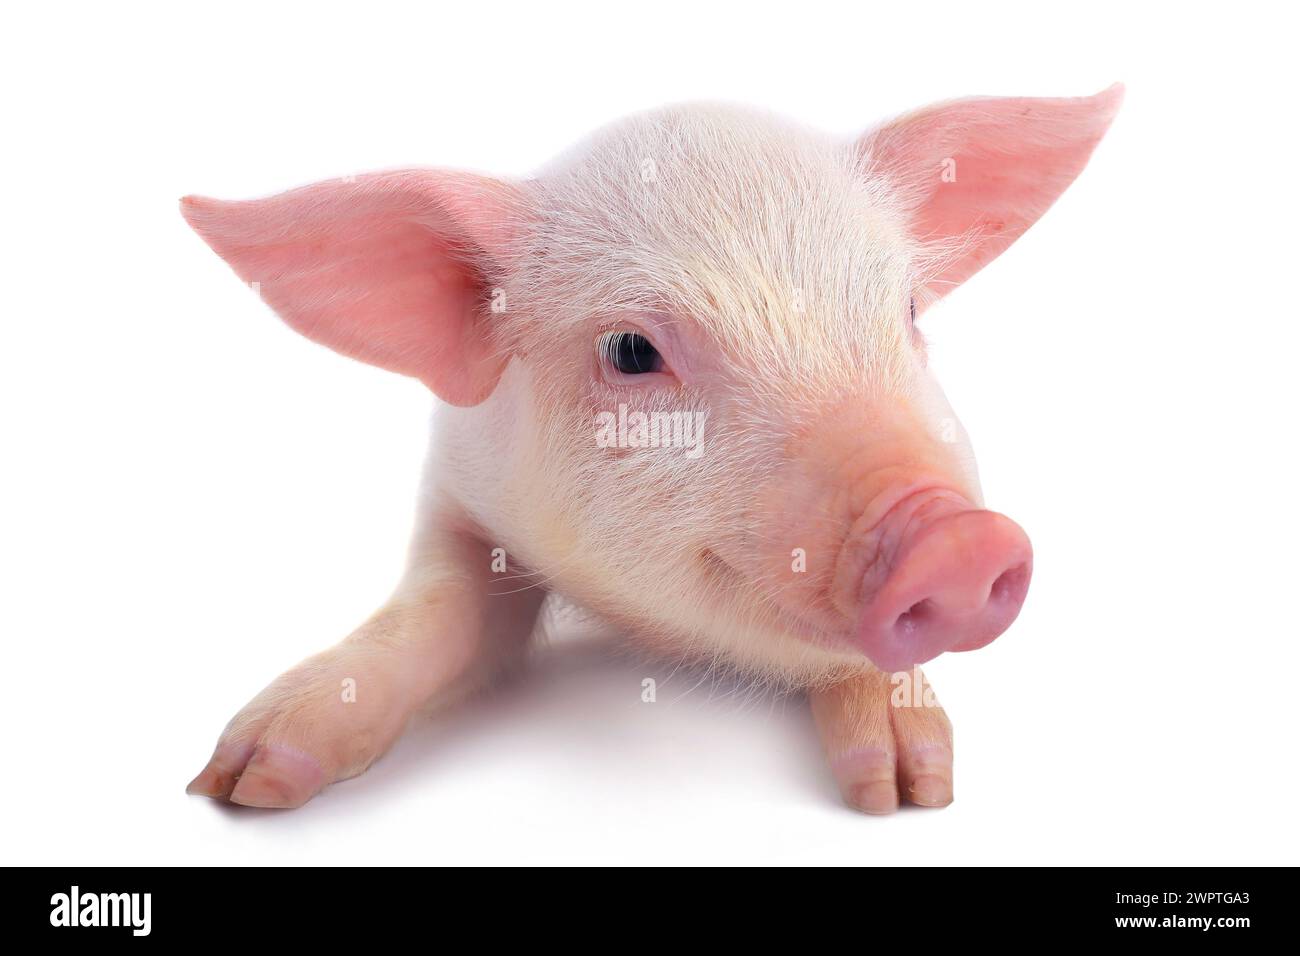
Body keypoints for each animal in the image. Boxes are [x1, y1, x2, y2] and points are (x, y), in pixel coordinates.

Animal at [182, 86, 1121, 813]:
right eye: (632, 351)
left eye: (910, 311)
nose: (956, 540)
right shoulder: (456, 494)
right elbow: (439, 609)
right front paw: (243, 782)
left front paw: (912, 793)